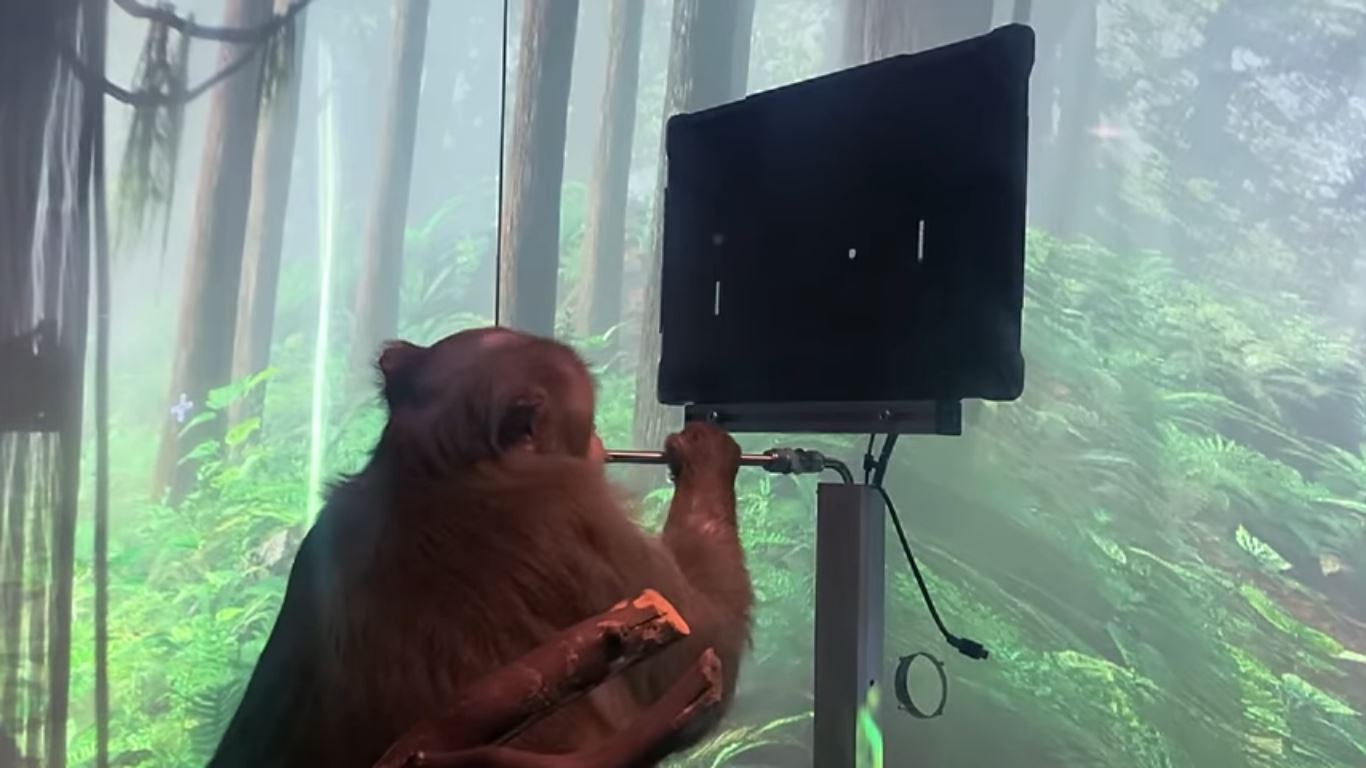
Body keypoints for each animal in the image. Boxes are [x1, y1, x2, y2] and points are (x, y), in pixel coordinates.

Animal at [207, 327, 753, 767]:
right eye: (589, 423)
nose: (601, 445)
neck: (435, 466)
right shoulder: (579, 515)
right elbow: (706, 640)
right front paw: (707, 455)